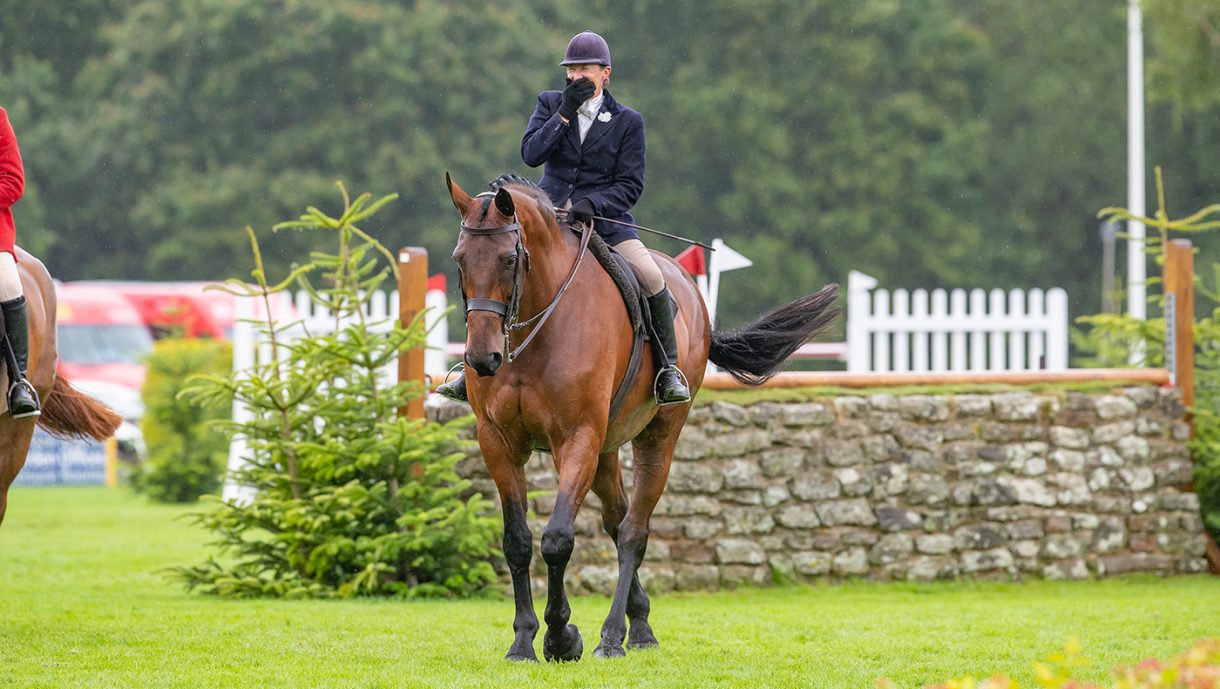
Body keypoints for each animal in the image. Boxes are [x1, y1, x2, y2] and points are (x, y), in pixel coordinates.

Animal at [446, 174, 838, 662]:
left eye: (509, 258)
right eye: (459, 260)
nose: (483, 359)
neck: (533, 329)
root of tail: (686, 283)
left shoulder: (577, 438)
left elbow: (557, 539)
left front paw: (560, 636)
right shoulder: (497, 442)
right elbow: (517, 542)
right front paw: (523, 641)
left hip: (656, 438)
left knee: (634, 530)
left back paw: (616, 636)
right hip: (606, 448)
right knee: (617, 521)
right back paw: (640, 622)